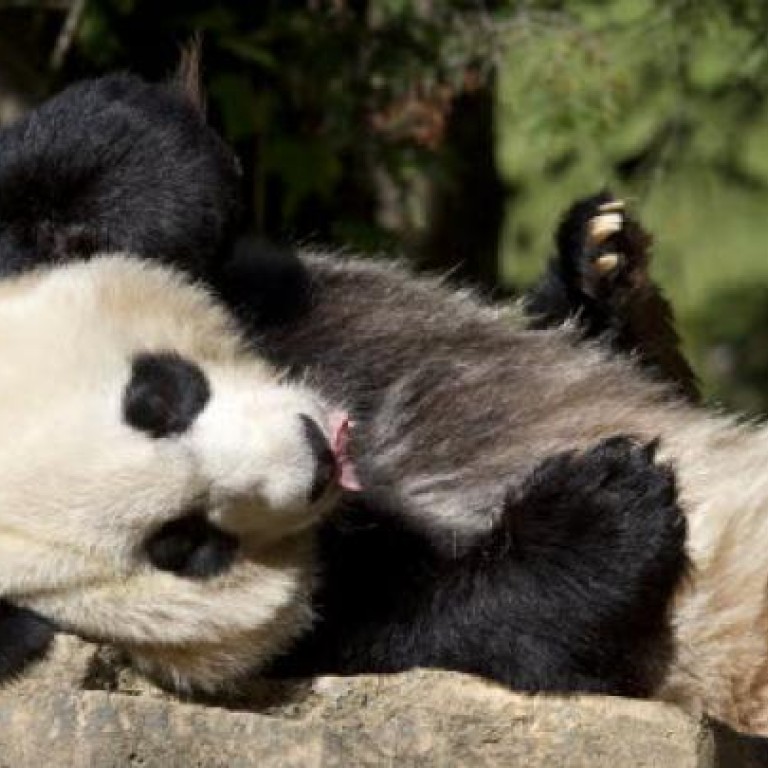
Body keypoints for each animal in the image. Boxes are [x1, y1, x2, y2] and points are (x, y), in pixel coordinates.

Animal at [3, 58, 766, 735]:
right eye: (186, 544)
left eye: (161, 394)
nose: (313, 458)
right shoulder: (320, 636)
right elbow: (465, 628)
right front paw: (597, 510)